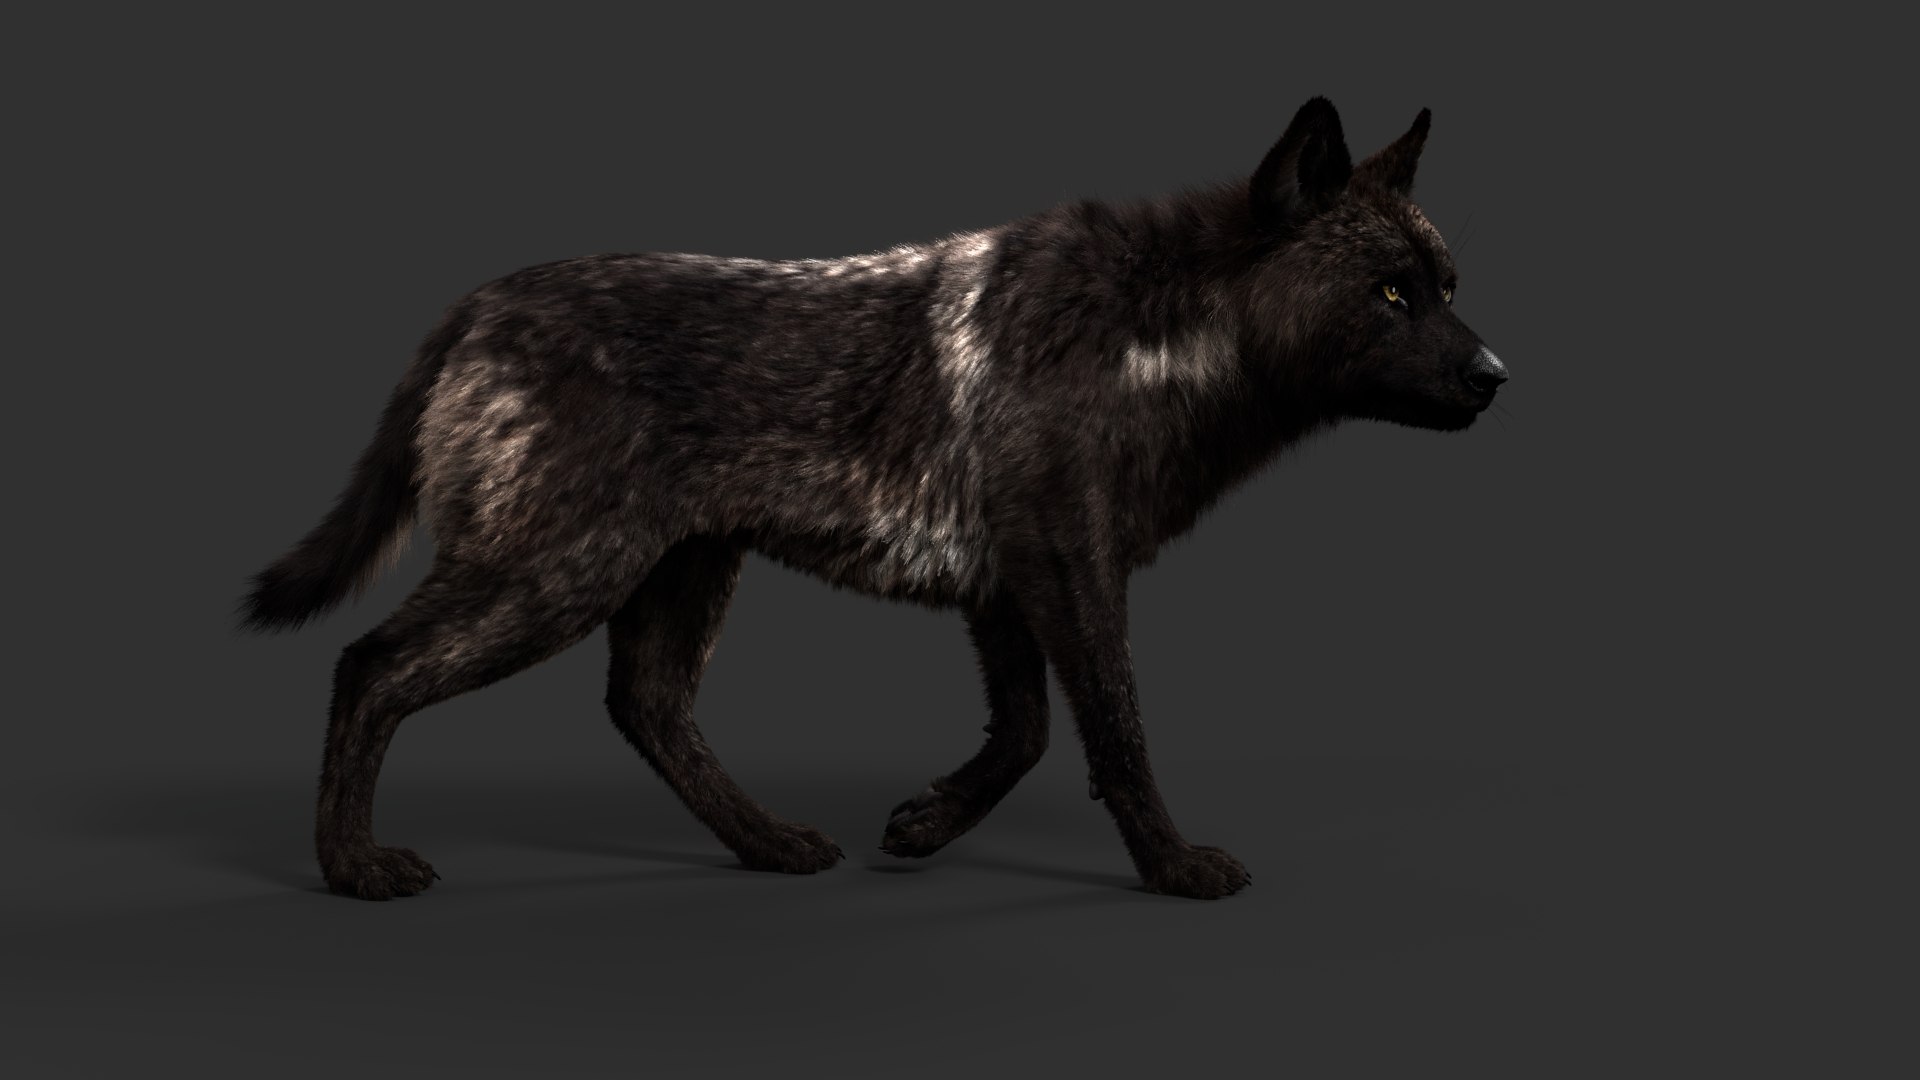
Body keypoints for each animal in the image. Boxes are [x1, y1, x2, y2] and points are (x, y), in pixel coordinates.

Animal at [240, 97, 1506, 901]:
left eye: (1446, 286)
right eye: (1392, 294)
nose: (1500, 376)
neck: (1160, 335)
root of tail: (475, 304)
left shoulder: (1010, 581)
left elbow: (1028, 731)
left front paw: (926, 822)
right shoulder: (1067, 568)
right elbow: (1115, 727)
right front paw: (1176, 870)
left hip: (677, 574)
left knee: (645, 707)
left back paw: (769, 846)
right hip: (554, 578)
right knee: (371, 667)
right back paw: (353, 871)